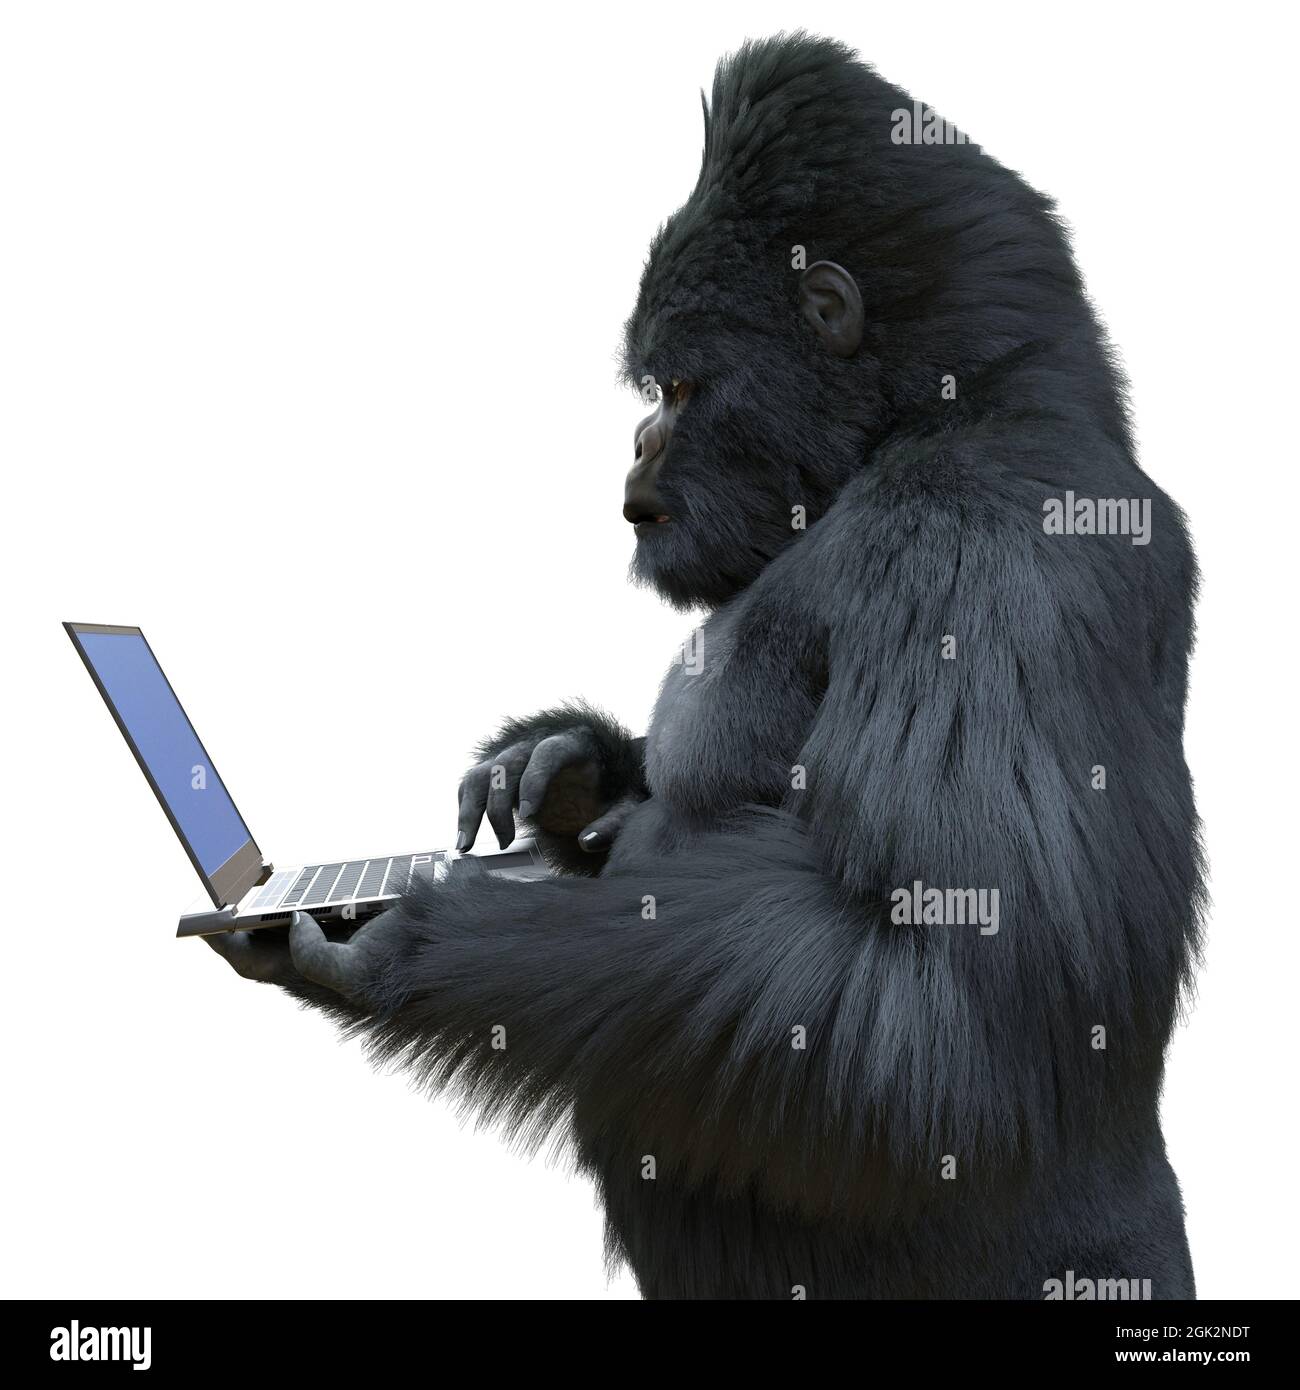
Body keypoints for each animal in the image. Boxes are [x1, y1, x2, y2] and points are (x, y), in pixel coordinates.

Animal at [209, 32, 1203, 1300]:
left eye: (677, 388)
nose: (637, 441)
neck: (928, 422)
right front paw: (560, 763)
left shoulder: (978, 547)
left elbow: (940, 1019)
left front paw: (417, 943)